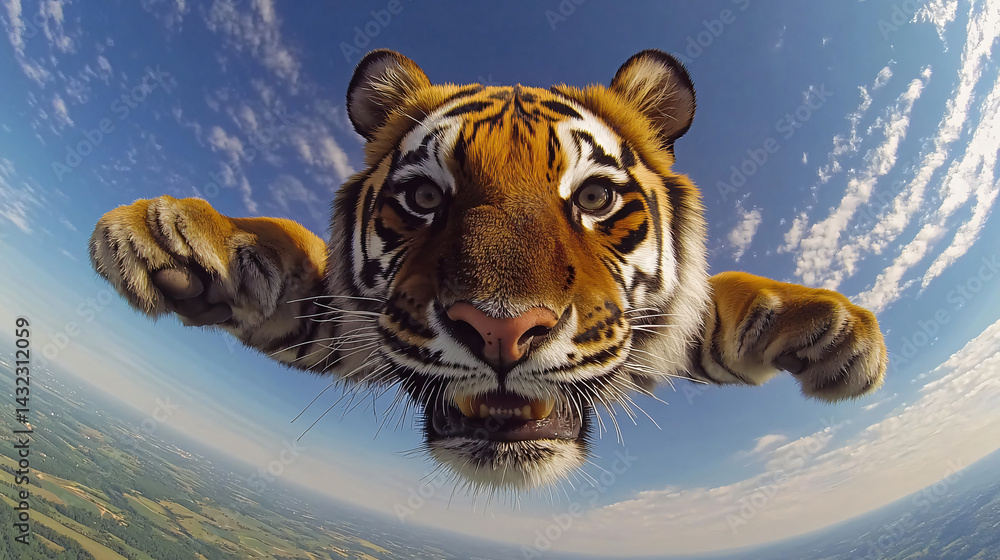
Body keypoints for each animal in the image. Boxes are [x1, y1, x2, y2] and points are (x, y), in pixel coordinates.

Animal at [89, 49, 887, 492]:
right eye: (423, 198)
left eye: (593, 198)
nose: (502, 331)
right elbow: (280, 248)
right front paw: (169, 236)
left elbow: (730, 303)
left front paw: (838, 333)